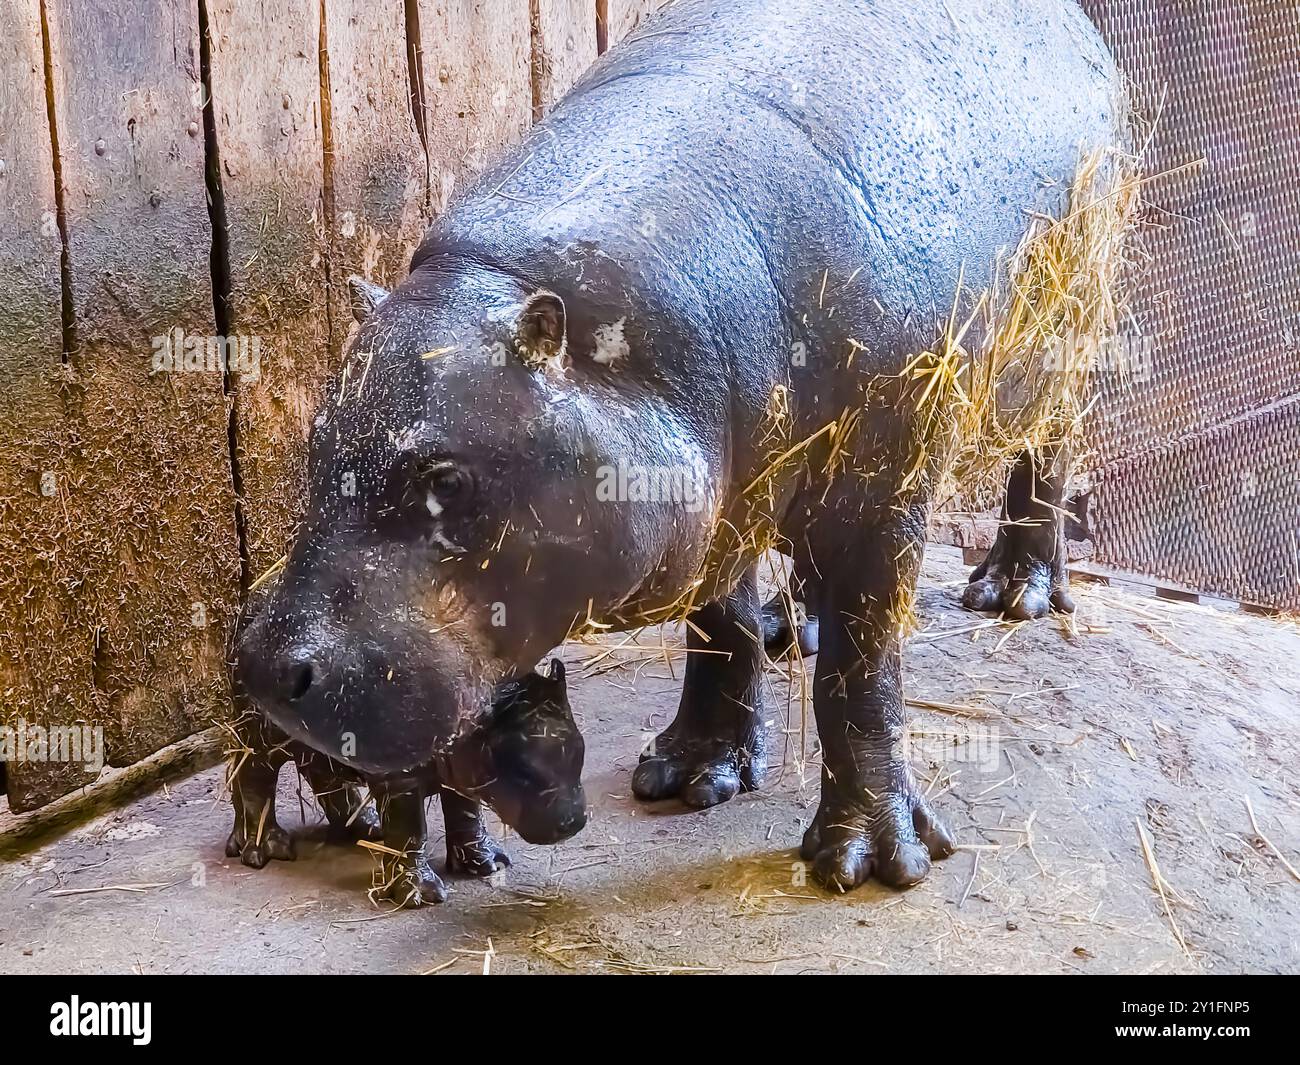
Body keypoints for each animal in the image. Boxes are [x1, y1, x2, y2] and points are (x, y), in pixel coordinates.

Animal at [227, 660, 585, 904]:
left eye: (580, 749)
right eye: (522, 769)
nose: (575, 822)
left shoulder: (465, 768)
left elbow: (466, 812)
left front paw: (490, 865)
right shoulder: (400, 781)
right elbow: (410, 829)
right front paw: (421, 897)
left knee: (321, 775)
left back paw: (368, 829)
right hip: (259, 733)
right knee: (255, 774)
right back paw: (268, 851)